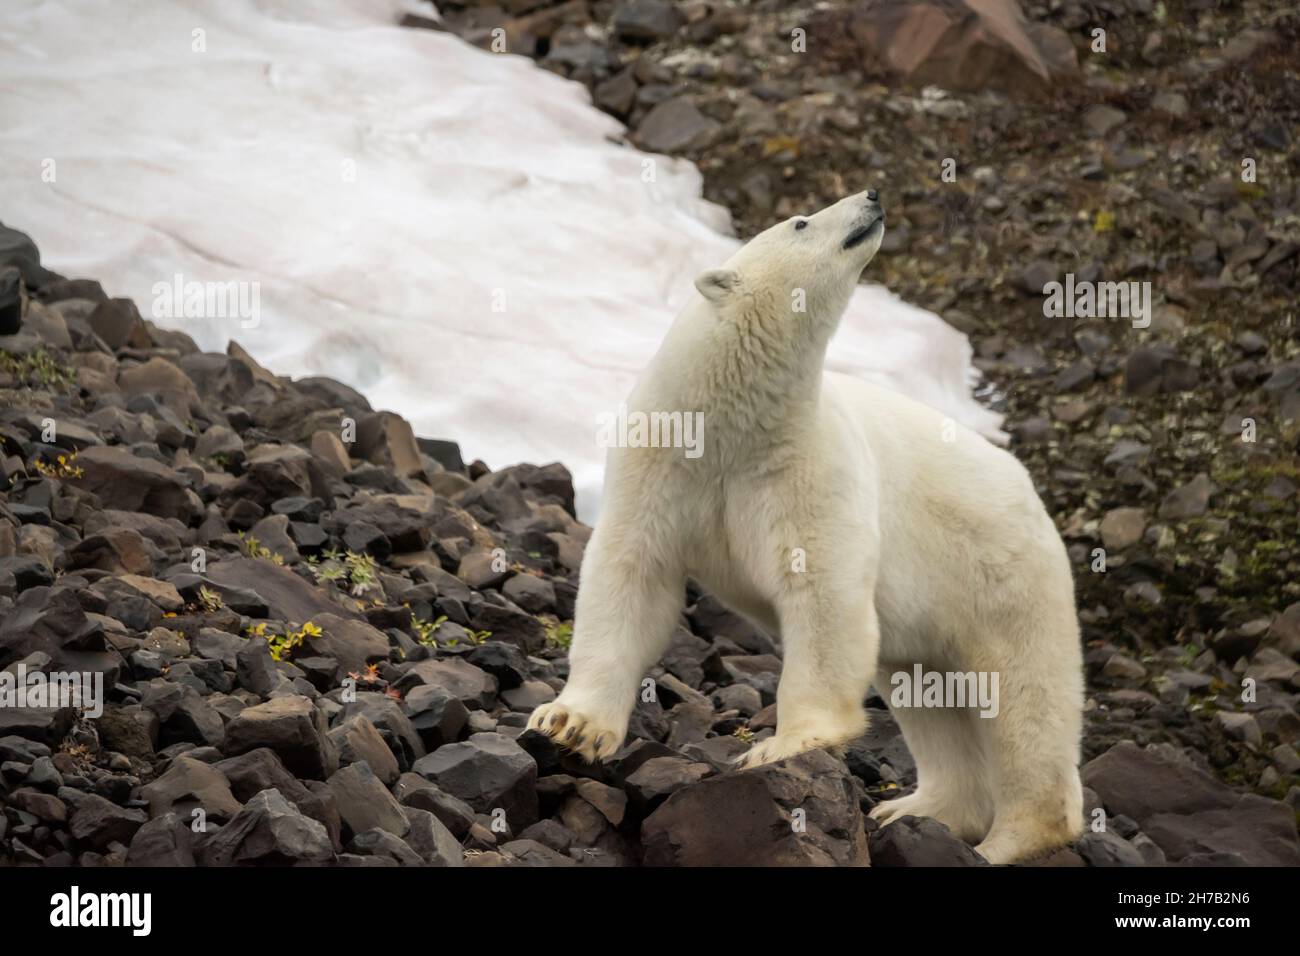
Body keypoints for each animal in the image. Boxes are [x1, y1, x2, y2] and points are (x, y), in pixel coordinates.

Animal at [527, 190, 1085, 865]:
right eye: (799, 222)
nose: (872, 196)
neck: (732, 426)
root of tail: (1025, 486)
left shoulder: (809, 469)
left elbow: (822, 593)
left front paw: (785, 744)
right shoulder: (661, 464)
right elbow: (632, 575)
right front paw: (569, 725)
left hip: (1004, 577)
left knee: (1025, 703)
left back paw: (1003, 840)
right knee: (930, 696)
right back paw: (916, 810)